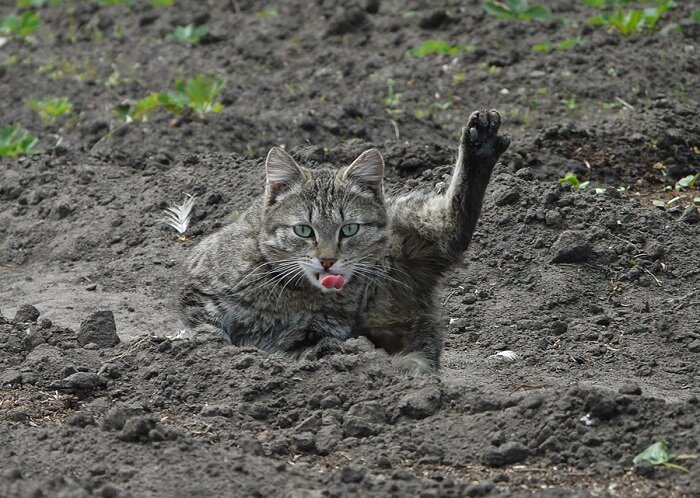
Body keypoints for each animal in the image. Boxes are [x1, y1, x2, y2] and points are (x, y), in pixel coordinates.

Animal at [180, 112, 508, 370]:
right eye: (304, 231)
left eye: (349, 230)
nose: (327, 261)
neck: (292, 289)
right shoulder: (197, 285)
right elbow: (204, 325)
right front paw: (208, 349)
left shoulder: (321, 331)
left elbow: (315, 347)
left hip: (418, 233)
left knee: (451, 226)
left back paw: (479, 149)